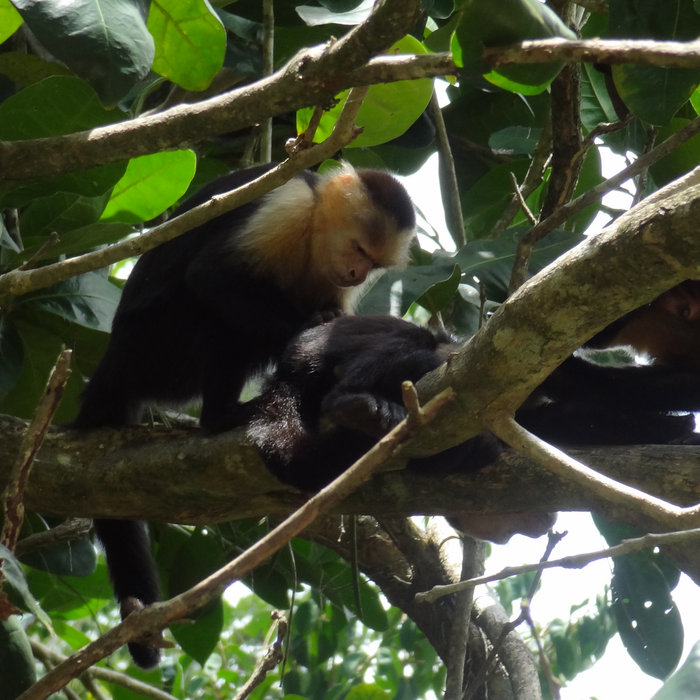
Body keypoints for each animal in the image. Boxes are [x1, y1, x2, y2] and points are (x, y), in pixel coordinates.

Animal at [71, 162, 416, 668]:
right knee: (216, 314)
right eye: (358, 250)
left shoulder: (330, 278)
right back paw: (222, 416)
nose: (356, 275)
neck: (313, 230)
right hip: (154, 347)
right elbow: (211, 275)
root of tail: (114, 360)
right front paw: (317, 327)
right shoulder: (287, 203)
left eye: (372, 265)